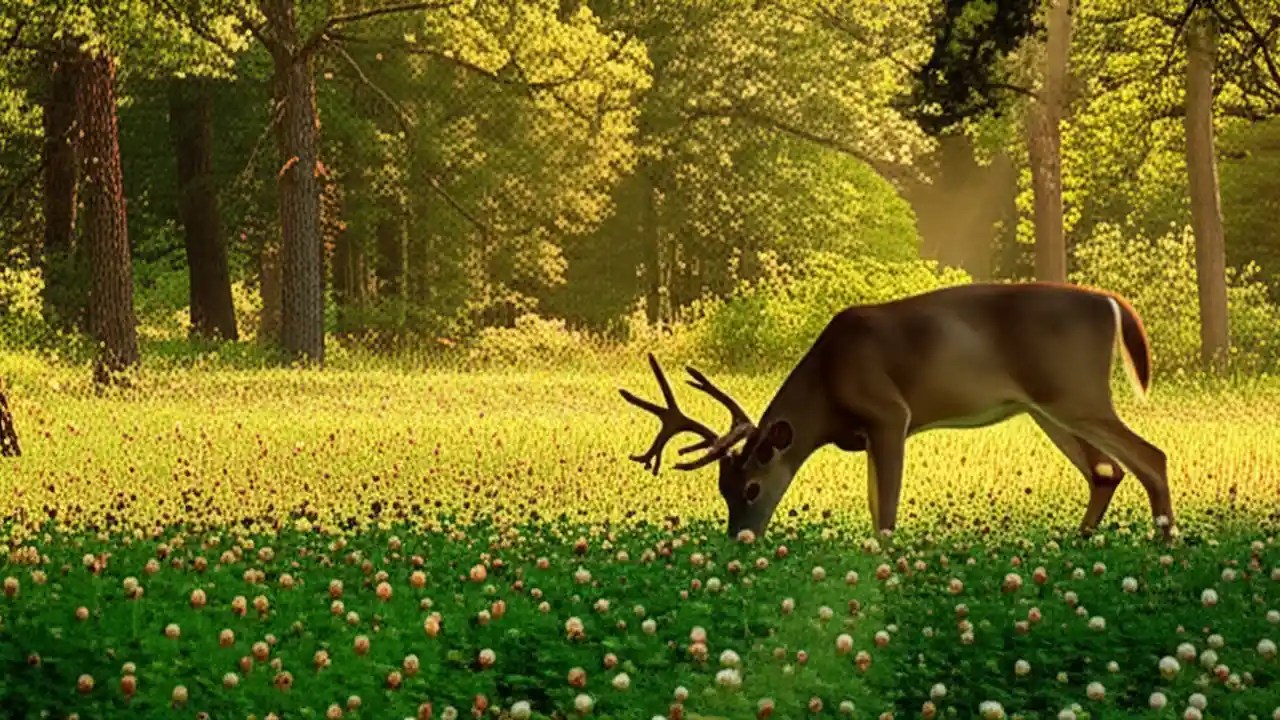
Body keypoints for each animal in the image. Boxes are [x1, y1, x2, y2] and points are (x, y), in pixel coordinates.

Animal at [620, 282, 1174, 541]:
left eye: (752, 488)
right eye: (723, 490)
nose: (741, 539)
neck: (828, 386)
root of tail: (1111, 302)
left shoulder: (889, 414)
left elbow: (884, 511)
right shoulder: (869, 432)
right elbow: (874, 504)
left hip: (1076, 393)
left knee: (1152, 456)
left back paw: (1164, 545)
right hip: (1048, 407)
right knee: (1107, 470)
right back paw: (1078, 543)